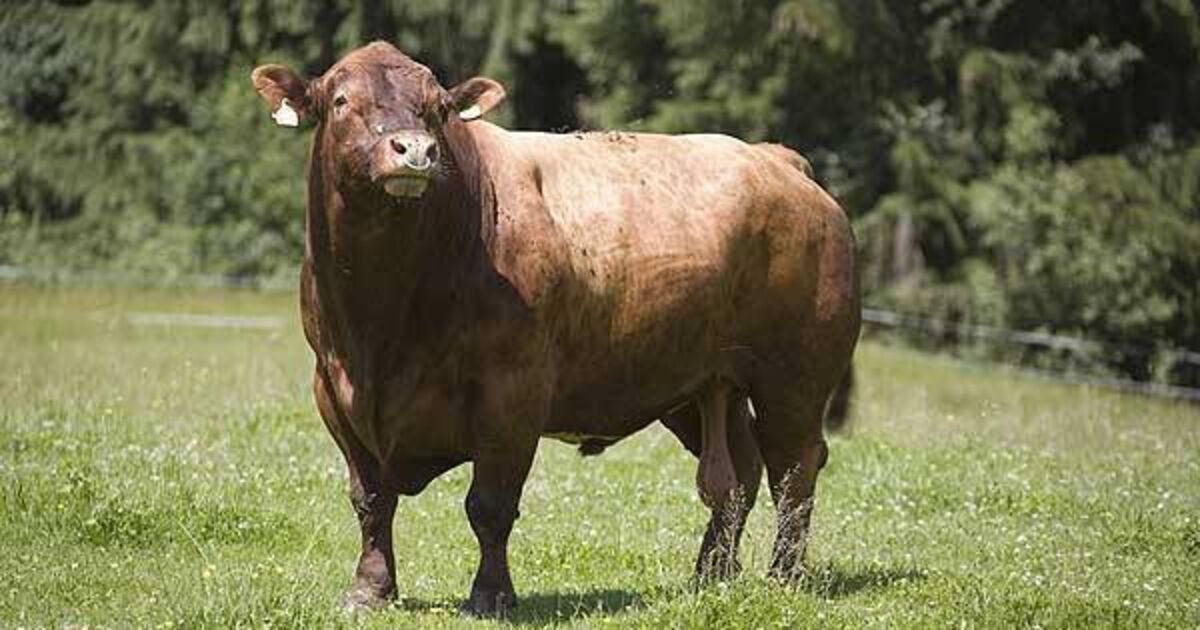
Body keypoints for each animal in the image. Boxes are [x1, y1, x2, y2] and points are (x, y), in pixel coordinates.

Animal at [251, 41, 860, 618]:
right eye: (340, 101)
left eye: (438, 108)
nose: (415, 151)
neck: (381, 325)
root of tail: (774, 158)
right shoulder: (333, 389)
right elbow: (371, 499)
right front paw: (370, 590)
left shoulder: (513, 391)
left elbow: (489, 505)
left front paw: (491, 595)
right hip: (697, 383)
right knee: (739, 475)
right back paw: (711, 575)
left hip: (795, 377)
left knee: (794, 469)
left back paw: (783, 576)